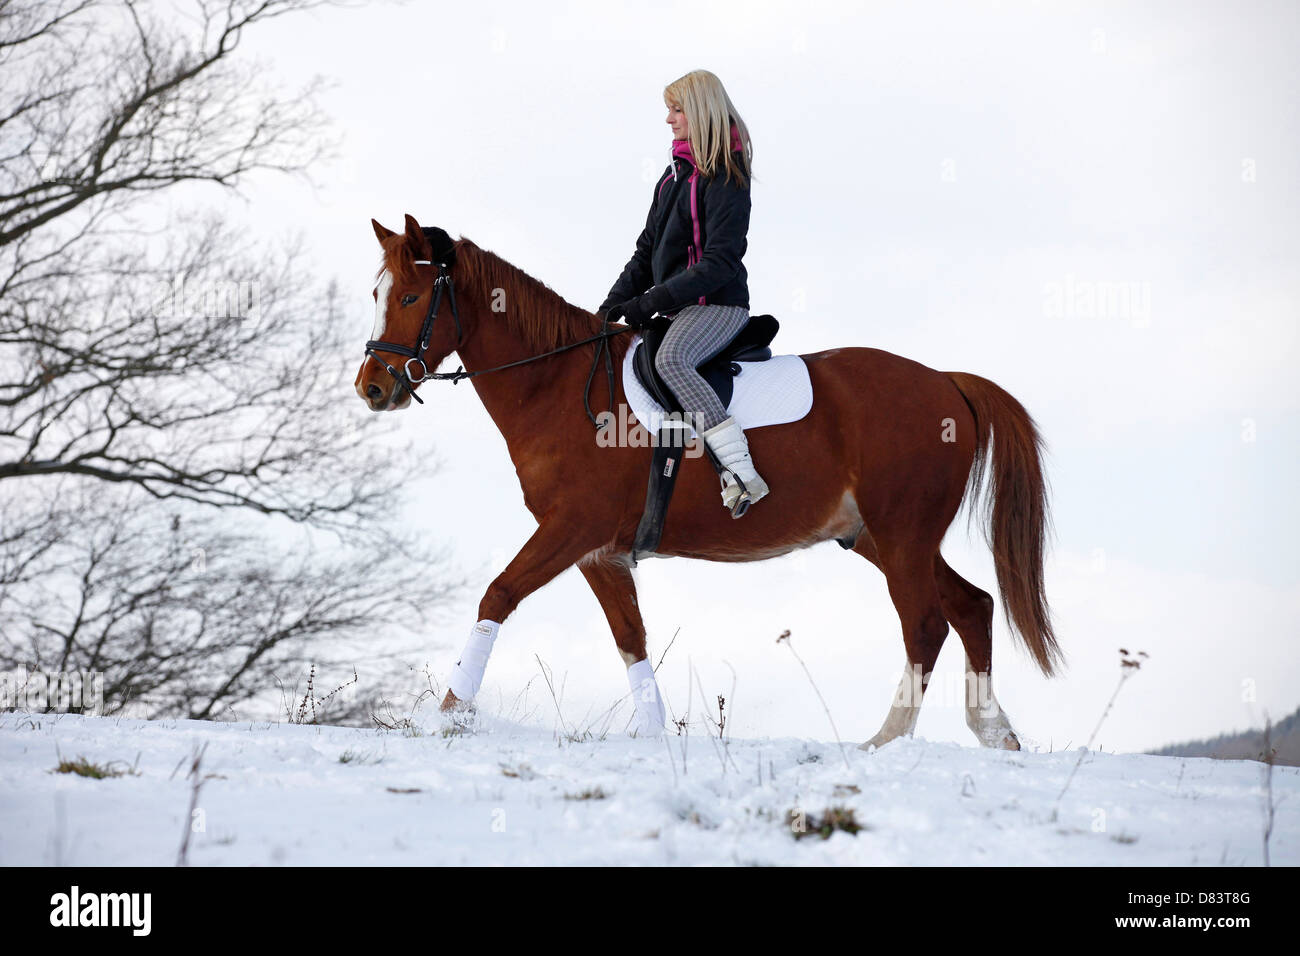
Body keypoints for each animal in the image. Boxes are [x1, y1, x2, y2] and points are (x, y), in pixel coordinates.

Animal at [355, 214, 1059, 750]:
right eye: (378, 295)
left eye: (411, 298)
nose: (372, 388)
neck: (559, 384)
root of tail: (947, 382)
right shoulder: (599, 553)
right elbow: (630, 639)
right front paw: (654, 734)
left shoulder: (571, 529)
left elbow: (497, 596)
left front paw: (449, 713)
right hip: (878, 538)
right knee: (971, 605)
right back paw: (995, 734)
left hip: (902, 534)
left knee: (926, 624)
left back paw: (884, 742)